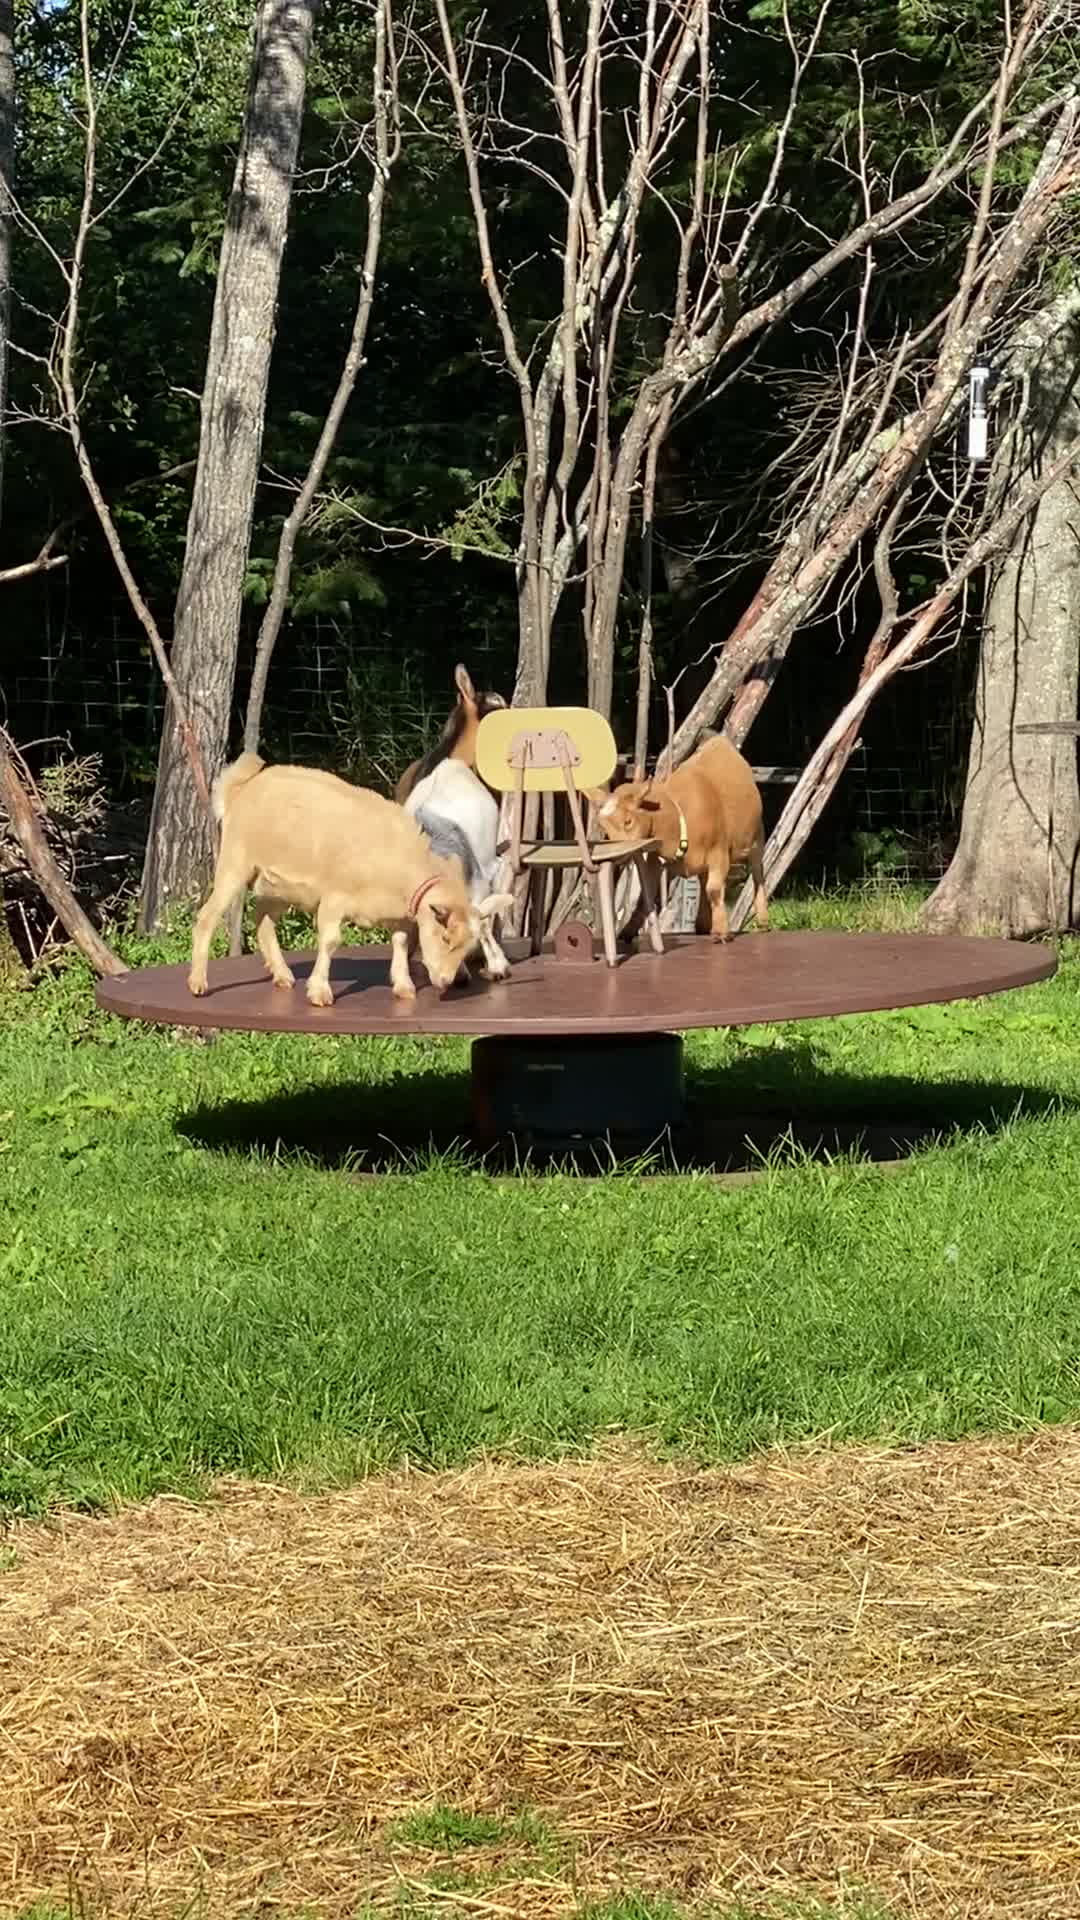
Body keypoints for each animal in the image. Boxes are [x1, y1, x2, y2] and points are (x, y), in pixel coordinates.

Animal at [591, 733, 768, 943]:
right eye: (603, 826)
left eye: (628, 821)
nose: (615, 854)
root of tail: (719, 741)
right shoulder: (655, 860)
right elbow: (645, 898)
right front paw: (628, 931)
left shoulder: (719, 854)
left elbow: (714, 889)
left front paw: (722, 932)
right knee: (702, 880)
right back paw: (702, 924)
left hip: (757, 838)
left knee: (757, 873)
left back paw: (763, 920)